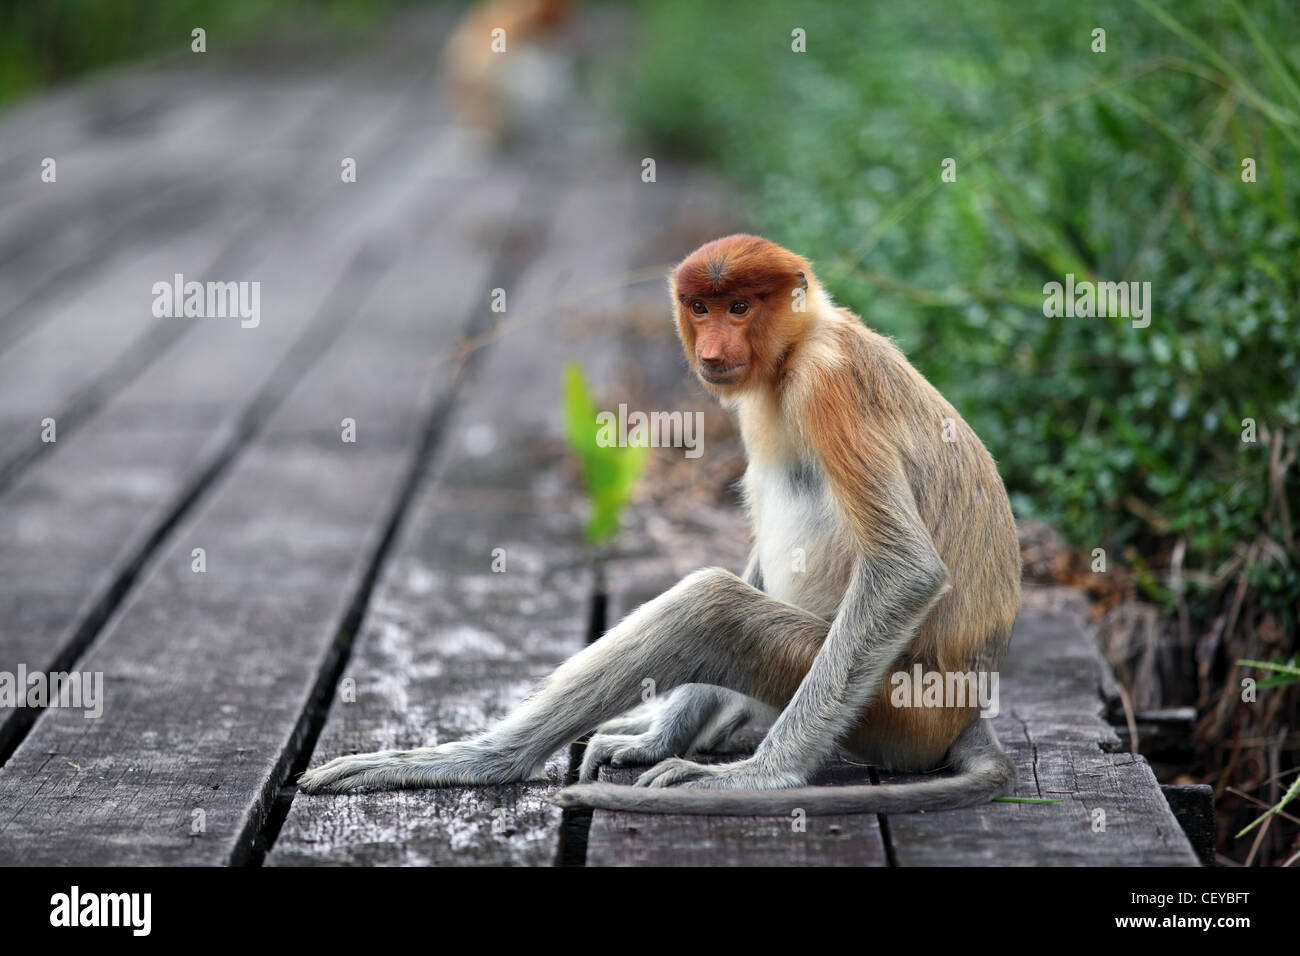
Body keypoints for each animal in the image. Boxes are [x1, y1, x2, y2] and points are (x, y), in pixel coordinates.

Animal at [298, 234, 1022, 815]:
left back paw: (485, 762)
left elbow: (906, 572)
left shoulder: (828, 383)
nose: (714, 346)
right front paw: (654, 741)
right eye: (700, 307)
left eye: (740, 308)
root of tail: (969, 700)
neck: (793, 353)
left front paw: (757, 778)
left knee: (711, 602)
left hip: (899, 709)